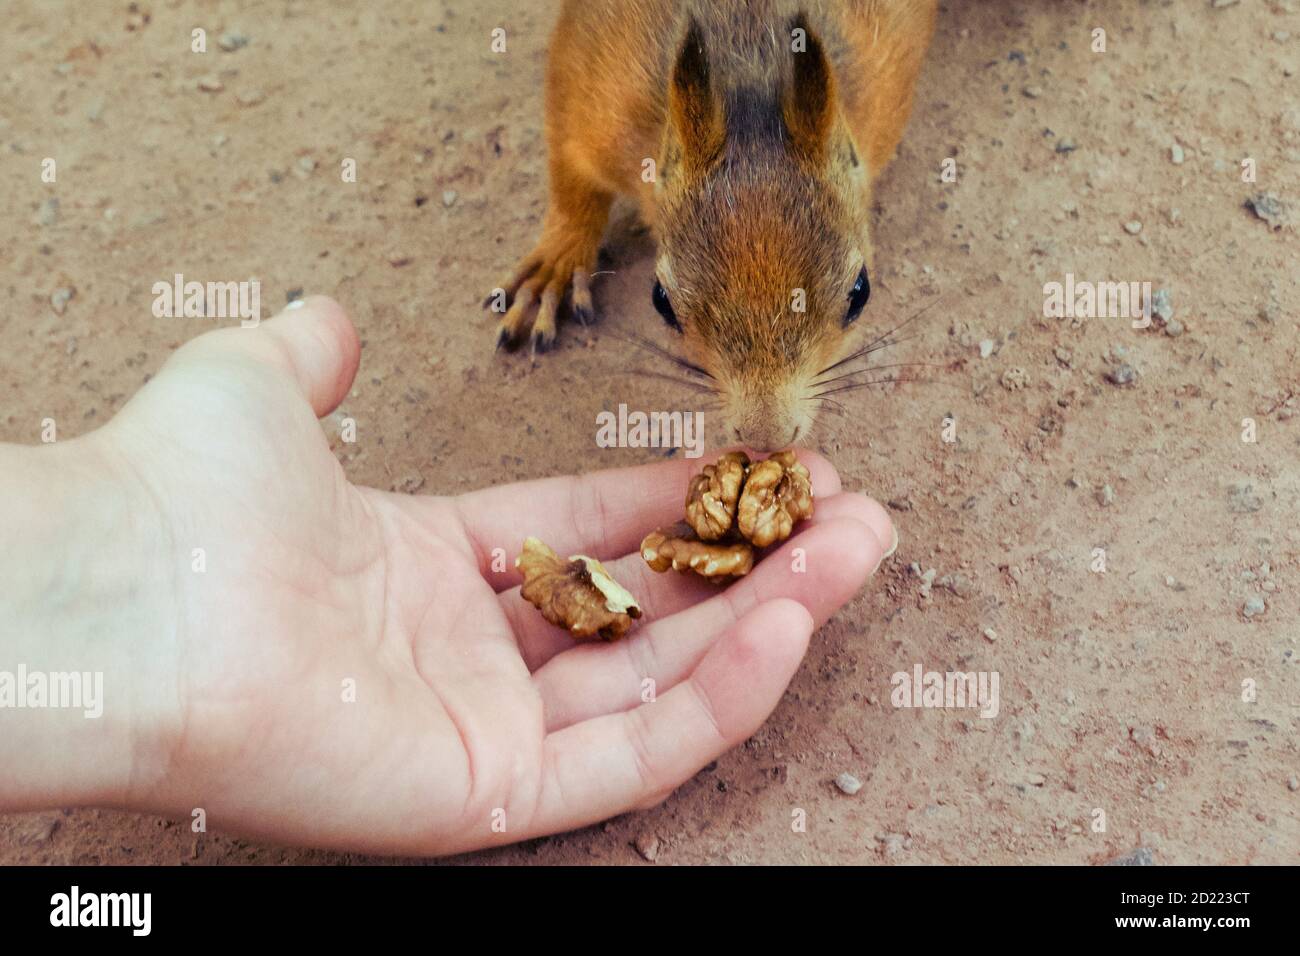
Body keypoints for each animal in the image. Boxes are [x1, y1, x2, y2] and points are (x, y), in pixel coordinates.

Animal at [487, 0, 938, 450]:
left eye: (861, 292)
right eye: (661, 301)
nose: (765, 438)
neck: (747, 68)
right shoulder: (590, 79)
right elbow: (570, 171)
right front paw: (558, 262)